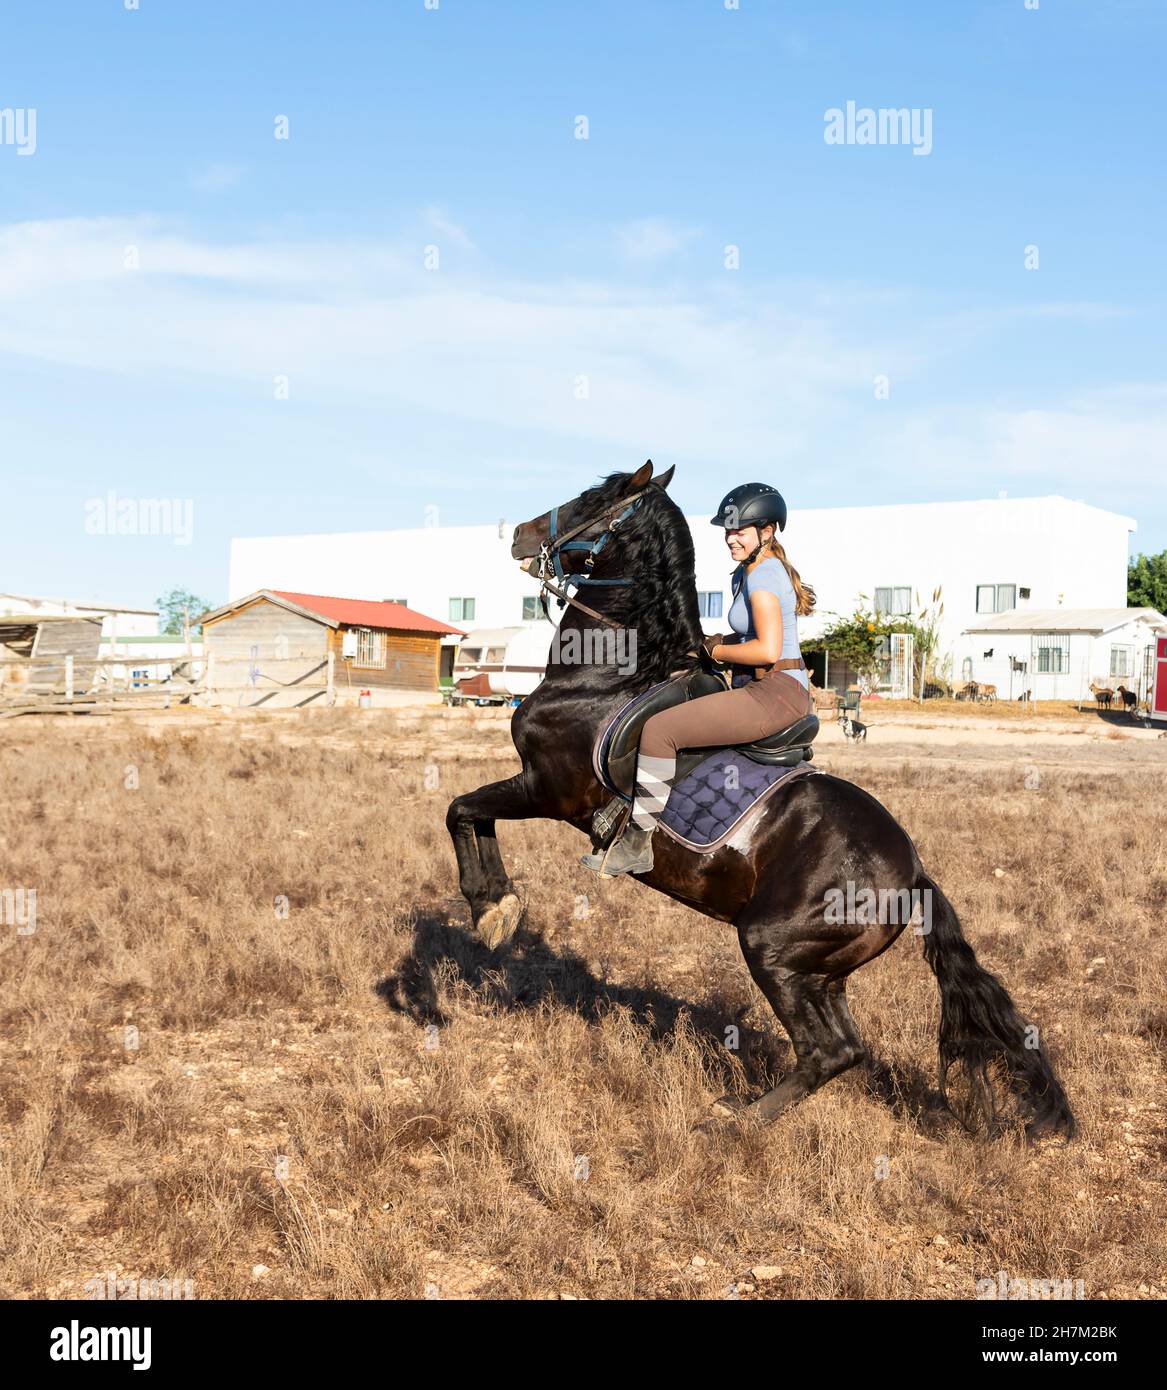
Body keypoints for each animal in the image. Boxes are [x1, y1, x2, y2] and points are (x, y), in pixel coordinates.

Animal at [447, 461, 1078, 1134]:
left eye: (594, 499)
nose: (520, 533)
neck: (611, 674)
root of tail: (913, 873)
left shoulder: (547, 788)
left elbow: (464, 810)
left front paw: (491, 908)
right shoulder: (539, 788)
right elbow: (473, 816)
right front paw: (498, 911)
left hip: (772, 946)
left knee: (829, 1049)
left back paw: (737, 1122)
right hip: (819, 970)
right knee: (843, 1047)